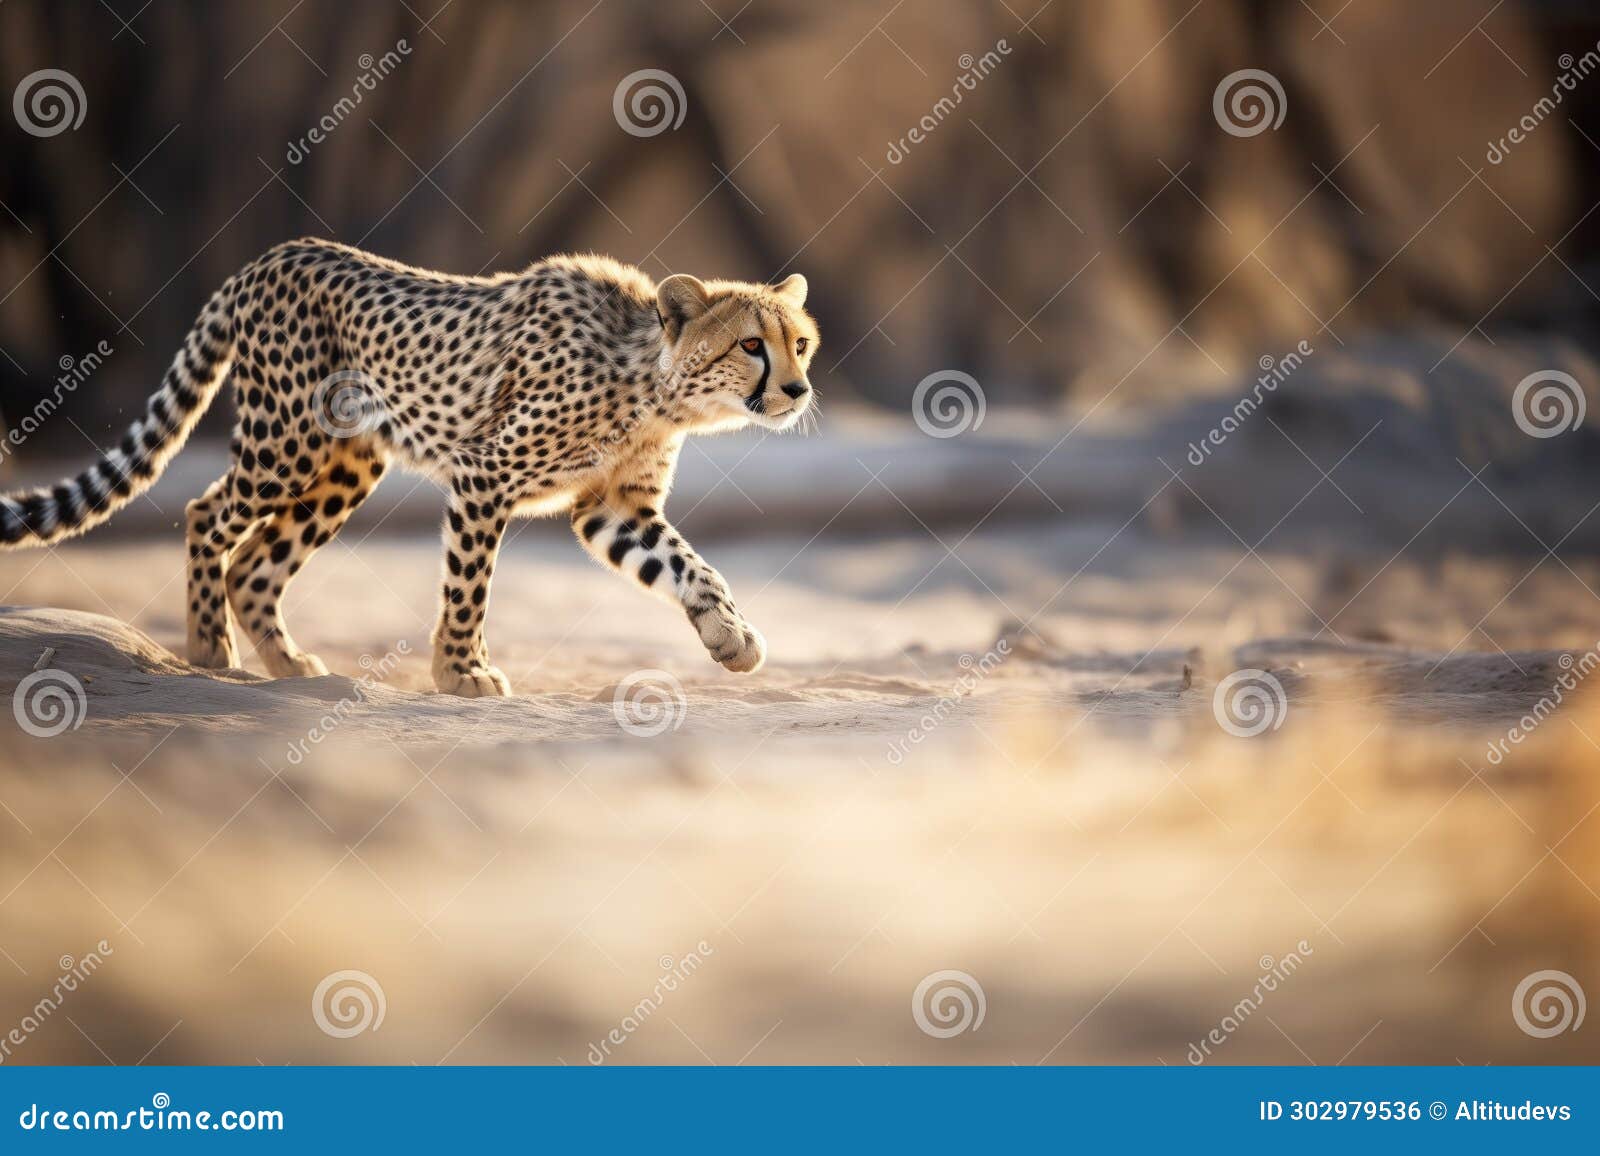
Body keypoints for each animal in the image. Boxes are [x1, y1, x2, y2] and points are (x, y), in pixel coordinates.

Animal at [0, 238, 819, 697]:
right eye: (751, 344)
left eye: (800, 343)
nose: (799, 390)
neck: (653, 384)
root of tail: (273, 255)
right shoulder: (485, 474)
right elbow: (469, 586)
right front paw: (460, 672)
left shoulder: (613, 510)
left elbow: (693, 567)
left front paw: (730, 638)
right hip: (284, 445)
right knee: (207, 516)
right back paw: (211, 652)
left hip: (342, 468)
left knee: (256, 564)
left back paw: (288, 663)